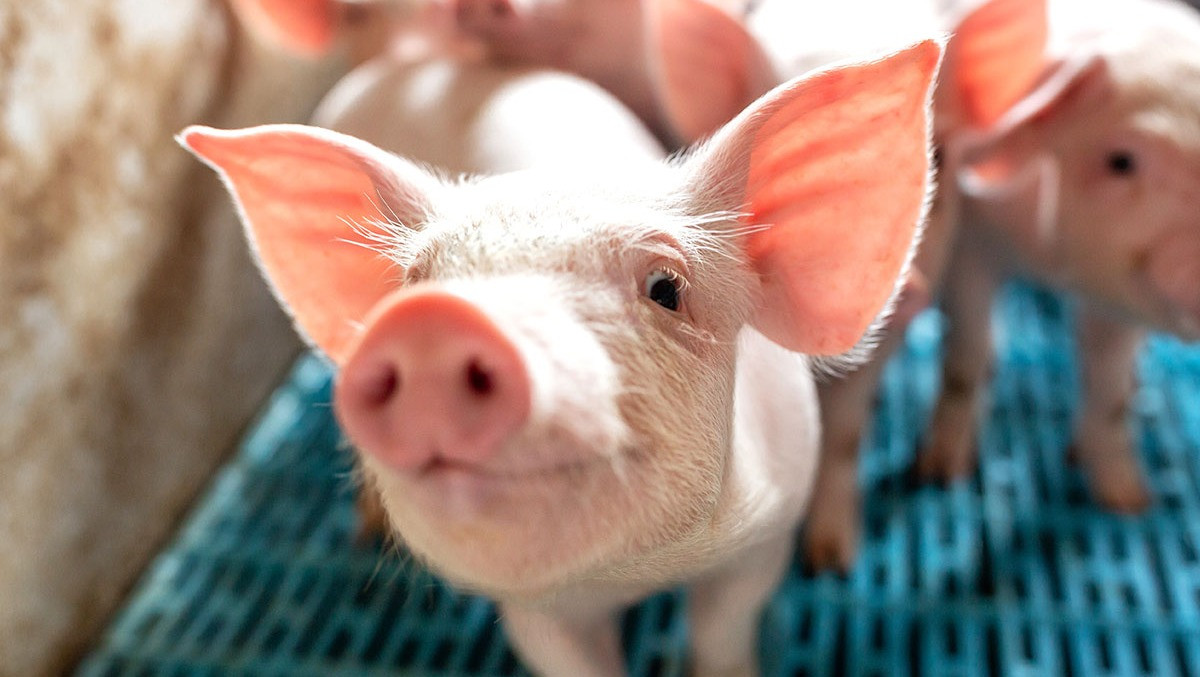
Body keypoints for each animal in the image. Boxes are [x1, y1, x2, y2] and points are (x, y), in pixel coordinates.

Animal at [182, 39, 942, 676]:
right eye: (416, 283)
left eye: (666, 288)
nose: (433, 322)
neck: (640, 573)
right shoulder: (533, 609)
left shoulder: (764, 539)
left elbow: (723, 637)